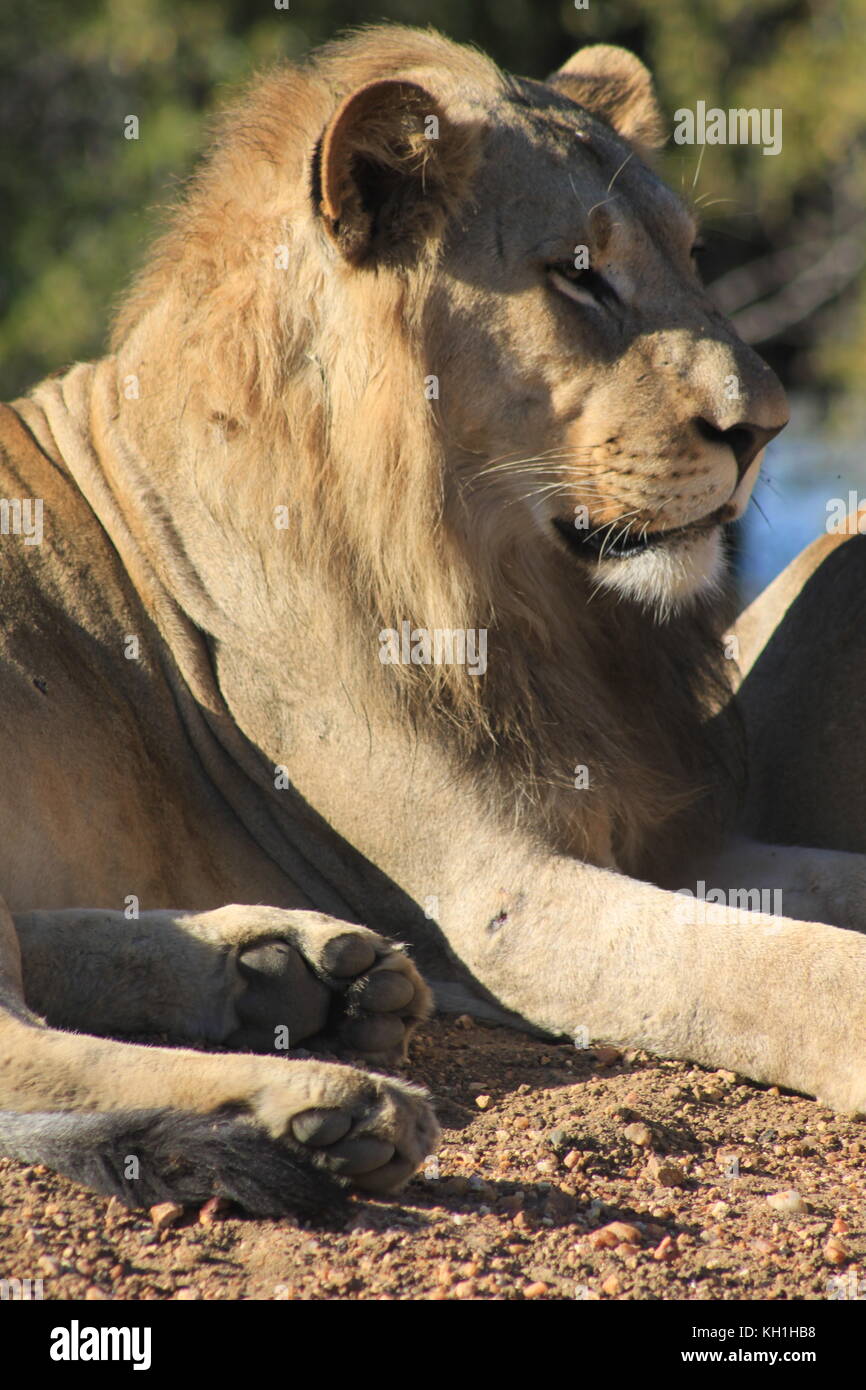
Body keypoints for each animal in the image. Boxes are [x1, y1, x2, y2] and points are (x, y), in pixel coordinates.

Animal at [2, 24, 866, 1215]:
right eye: (577, 272)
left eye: (693, 257)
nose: (765, 428)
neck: (532, 606)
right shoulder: (500, 896)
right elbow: (785, 968)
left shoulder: (670, 834)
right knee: (22, 1048)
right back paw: (320, 1111)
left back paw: (292, 972)